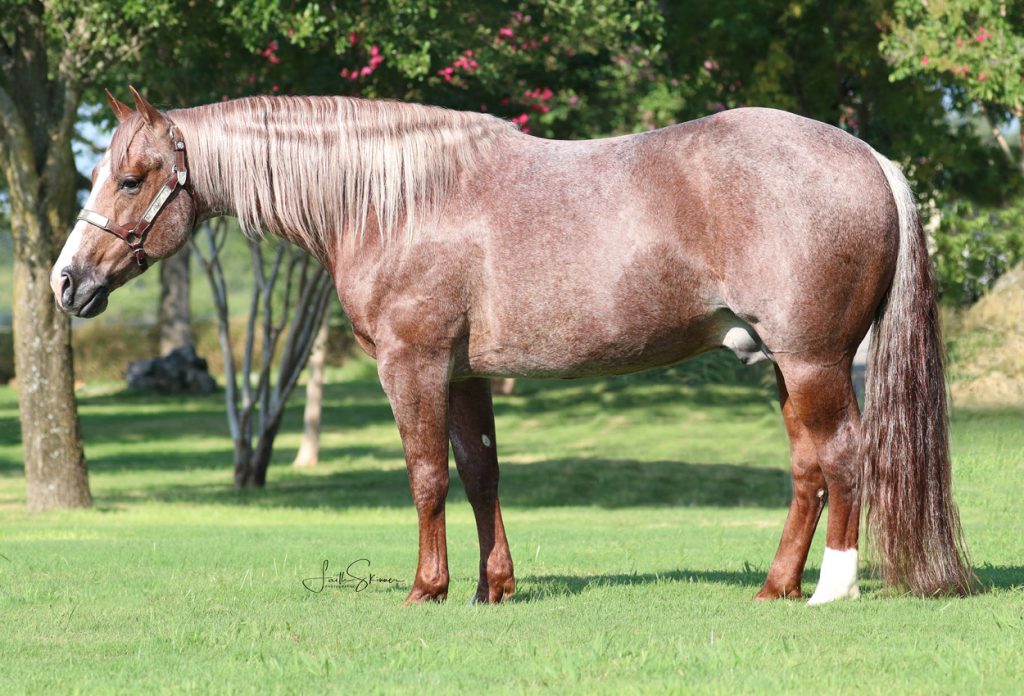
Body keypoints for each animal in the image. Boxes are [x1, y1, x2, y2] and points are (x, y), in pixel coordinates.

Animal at [50, 87, 974, 605]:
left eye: (130, 177)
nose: (67, 281)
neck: (399, 202)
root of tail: (870, 158)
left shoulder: (414, 364)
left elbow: (426, 476)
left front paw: (426, 589)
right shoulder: (465, 374)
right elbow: (479, 473)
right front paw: (492, 588)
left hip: (814, 361)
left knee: (845, 457)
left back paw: (831, 590)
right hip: (784, 365)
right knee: (809, 469)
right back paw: (776, 586)